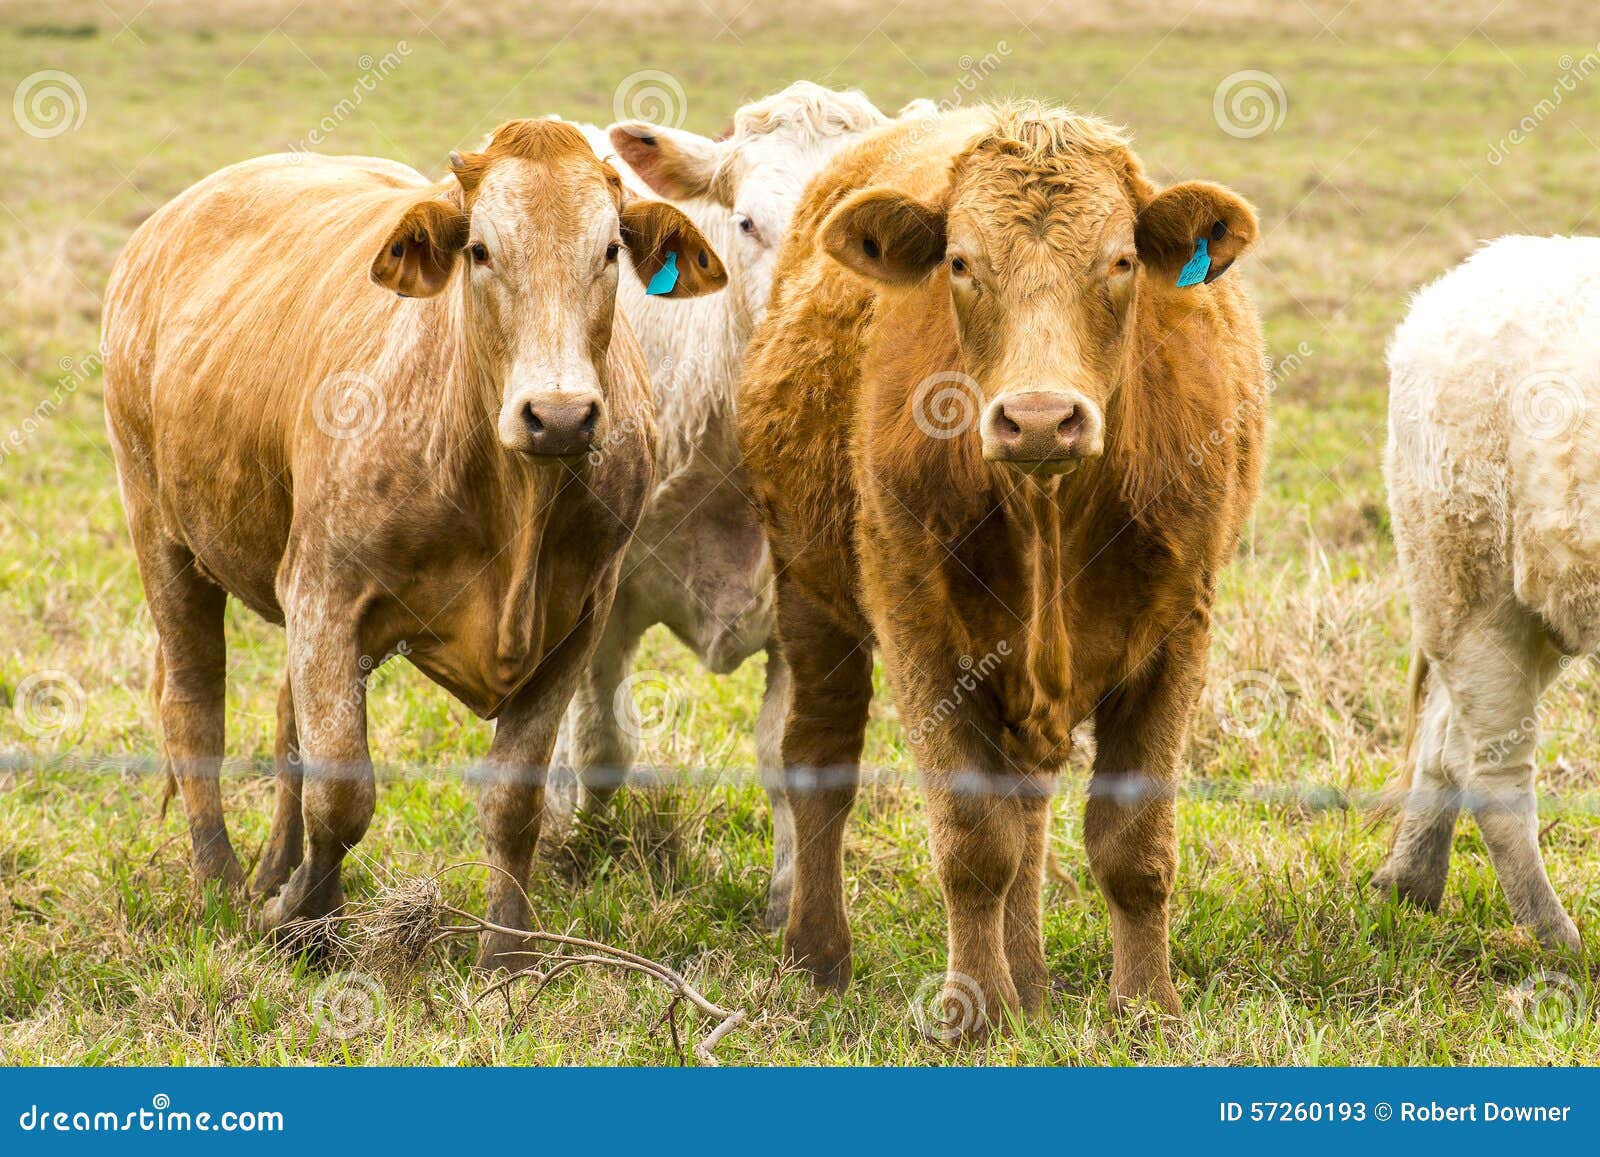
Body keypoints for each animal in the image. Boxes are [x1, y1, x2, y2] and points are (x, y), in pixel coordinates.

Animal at [101, 119, 726, 967]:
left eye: (607, 251)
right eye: (482, 250)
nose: (560, 415)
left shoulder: (577, 622)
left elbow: (513, 798)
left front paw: (506, 953)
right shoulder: (328, 594)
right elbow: (343, 791)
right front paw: (303, 918)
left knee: (285, 720)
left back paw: (268, 869)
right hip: (161, 533)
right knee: (195, 706)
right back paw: (223, 882)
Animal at [548, 83, 890, 929]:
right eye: (746, 222)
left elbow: (799, 759)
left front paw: (794, 904)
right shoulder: (601, 595)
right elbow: (600, 737)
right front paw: (568, 851)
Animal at [738, 102, 1265, 1038]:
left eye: (1121, 259)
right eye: (960, 262)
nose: (1041, 417)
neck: (1050, 511)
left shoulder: (1180, 627)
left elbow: (1132, 843)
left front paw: (1147, 1007)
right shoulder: (918, 632)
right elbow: (974, 841)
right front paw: (975, 1009)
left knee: (1028, 802)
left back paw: (1033, 978)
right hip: (810, 597)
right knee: (820, 762)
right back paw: (817, 954)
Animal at [1374, 235, 1593, 954]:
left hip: (1538, 607)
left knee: (1444, 739)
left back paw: (1406, 885)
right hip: (1469, 588)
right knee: (1492, 773)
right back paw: (1558, 939)